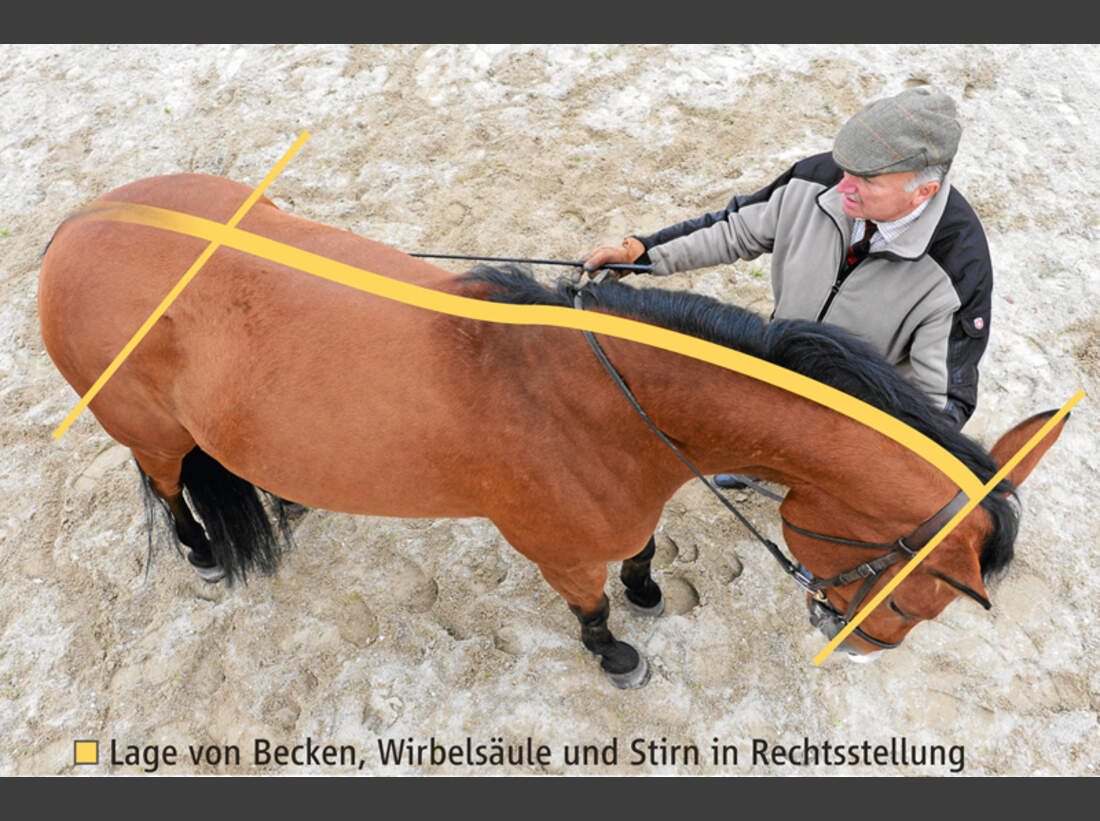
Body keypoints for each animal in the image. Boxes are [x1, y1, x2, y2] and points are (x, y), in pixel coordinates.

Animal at [38, 173, 1067, 688]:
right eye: (920, 590)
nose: (854, 644)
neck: (595, 405)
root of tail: (79, 223)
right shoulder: (556, 545)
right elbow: (591, 607)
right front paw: (618, 655)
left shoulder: (632, 504)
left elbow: (641, 556)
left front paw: (651, 593)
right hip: (145, 430)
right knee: (168, 481)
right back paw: (202, 551)